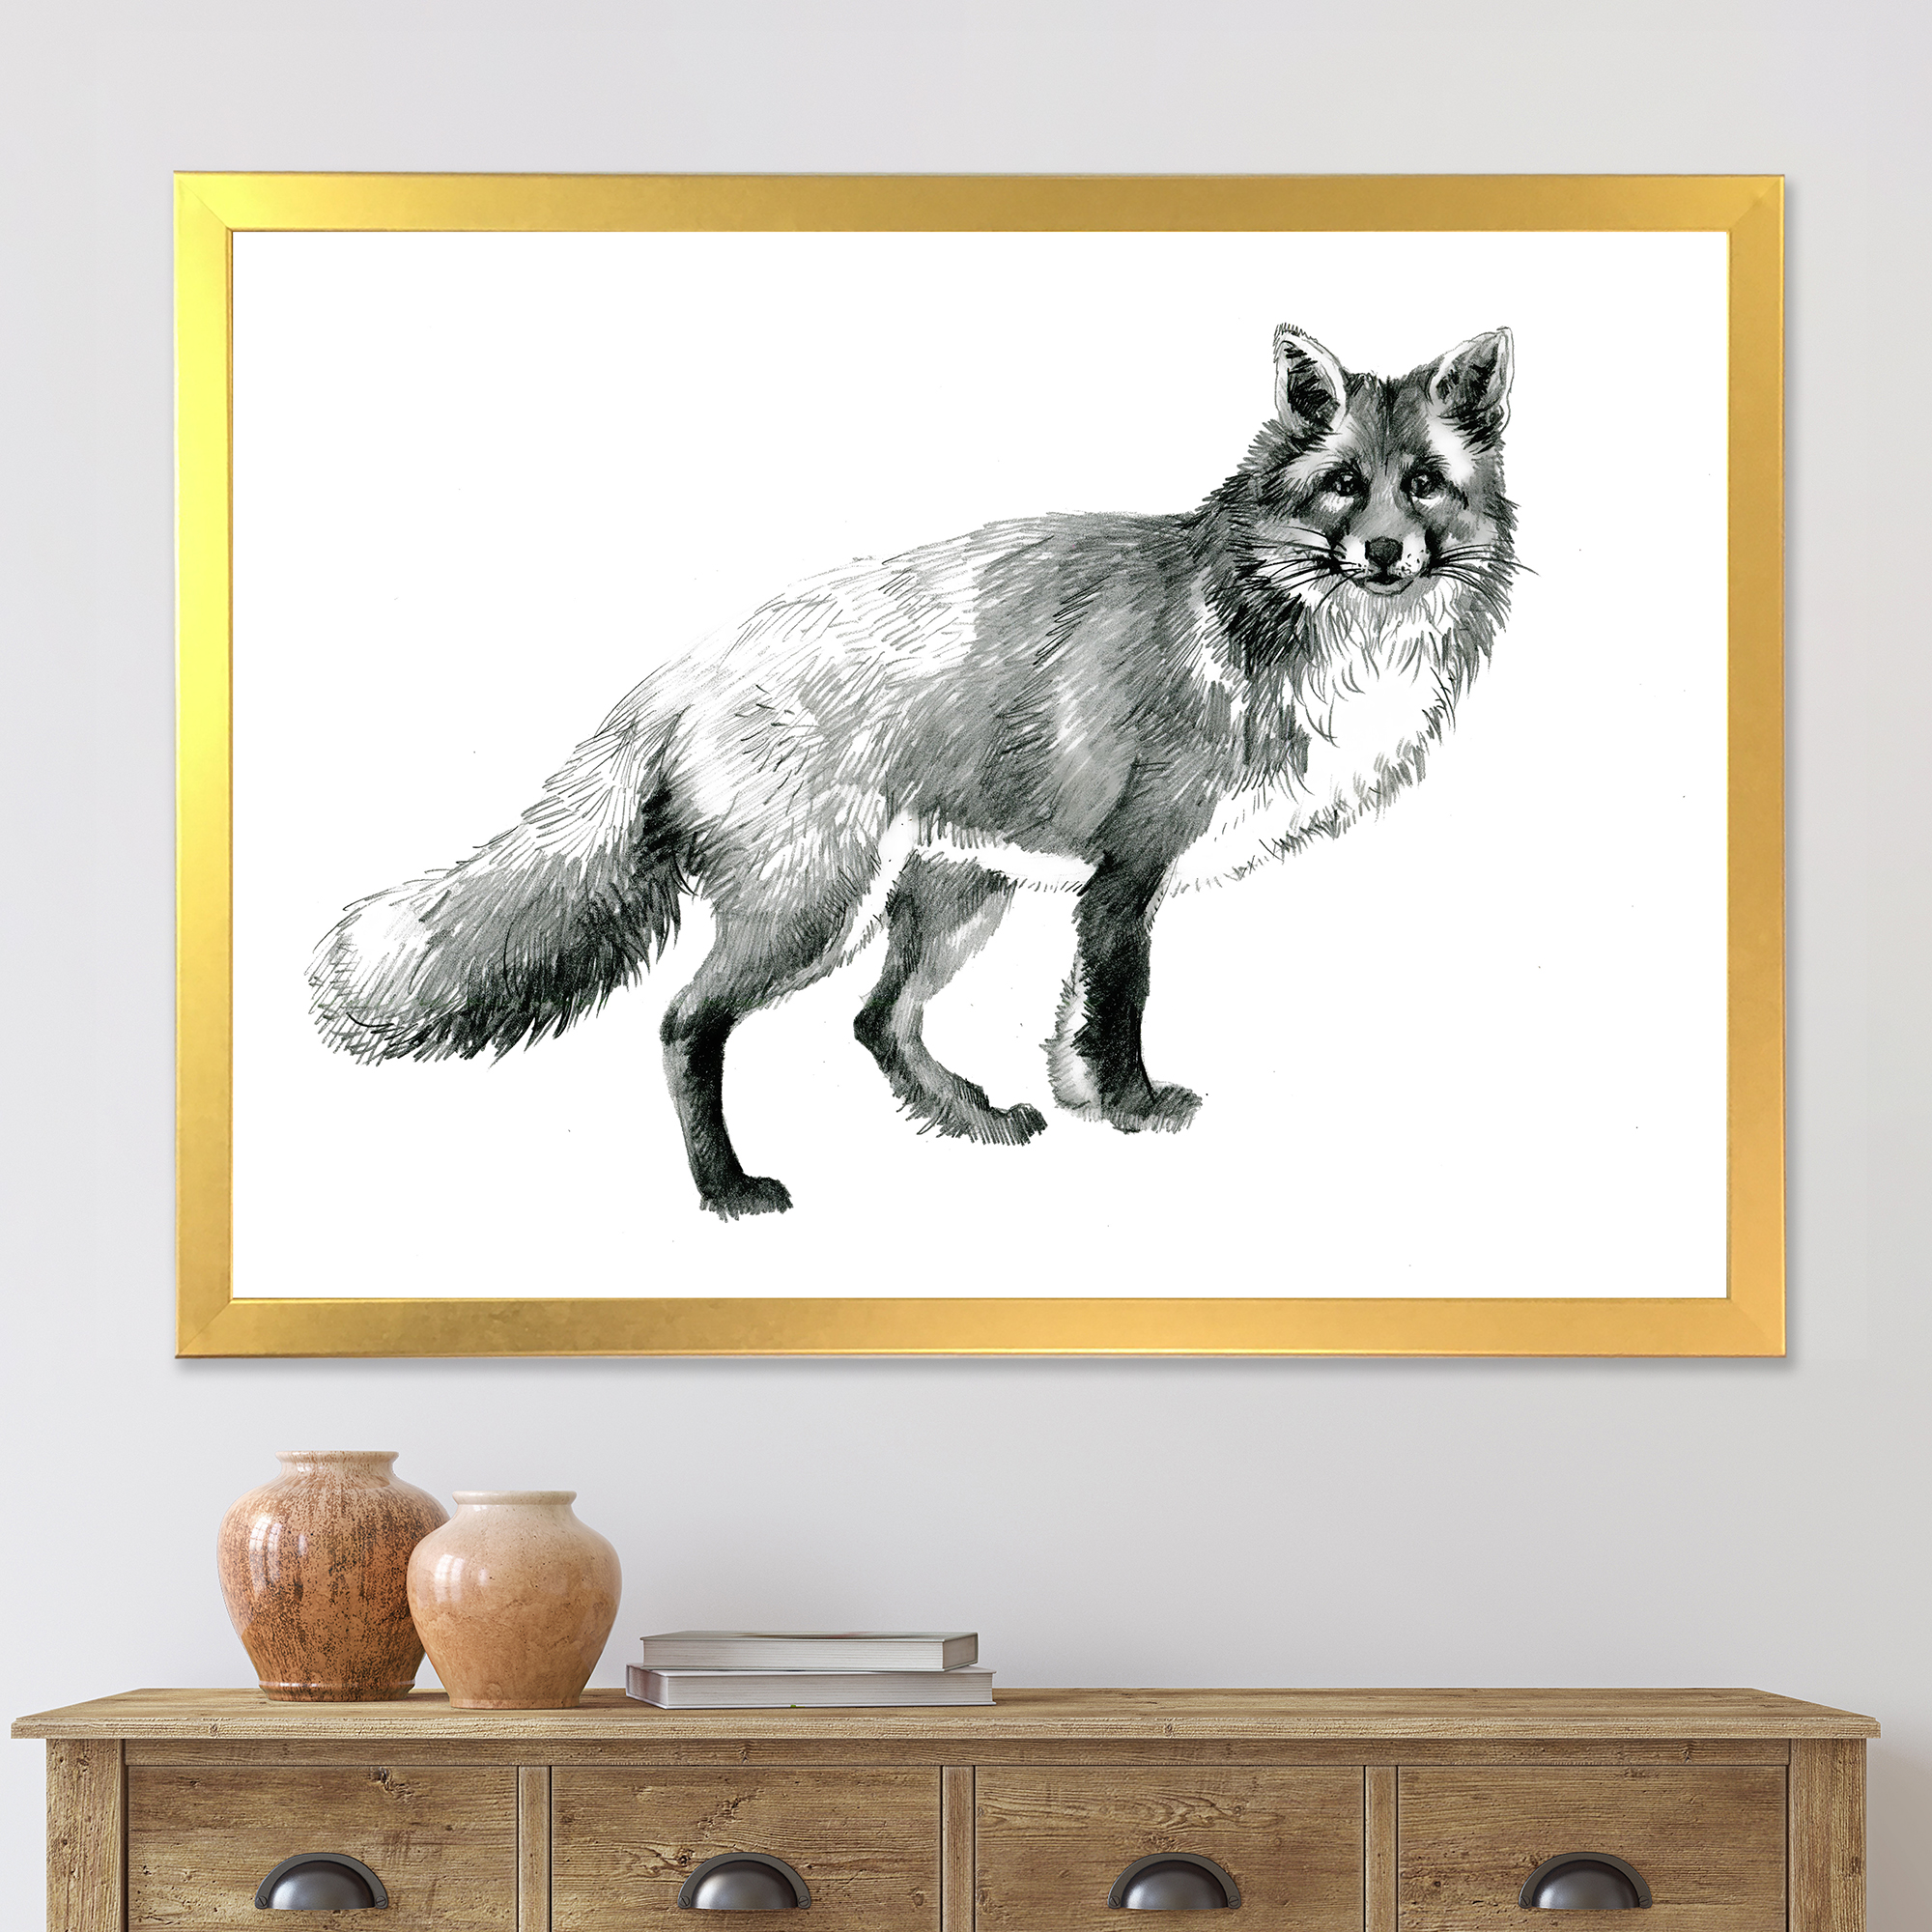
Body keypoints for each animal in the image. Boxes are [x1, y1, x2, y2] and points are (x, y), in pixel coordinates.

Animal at [310, 322, 1517, 1219]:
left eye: (1424, 483)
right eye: (1341, 484)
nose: (1384, 553)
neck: (1285, 630)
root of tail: (684, 669)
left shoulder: (1091, 890)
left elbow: (1072, 1026)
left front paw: (1083, 1107)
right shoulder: (1129, 872)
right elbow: (1119, 1012)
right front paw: (1134, 1112)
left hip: (950, 897)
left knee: (877, 1023)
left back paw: (970, 1120)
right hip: (814, 909)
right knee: (685, 1023)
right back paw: (728, 1190)